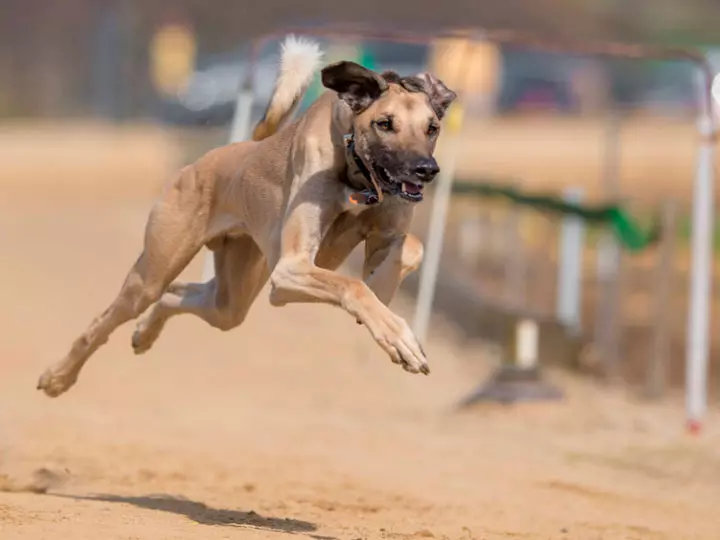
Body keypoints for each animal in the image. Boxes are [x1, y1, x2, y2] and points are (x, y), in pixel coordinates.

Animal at [36, 34, 456, 396]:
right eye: (385, 124)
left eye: (432, 127)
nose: (425, 169)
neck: (356, 172)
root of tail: (219, 156)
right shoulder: (290, 269)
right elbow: (352, 285)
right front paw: (397, 334)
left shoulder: (373, 237)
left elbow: (408, 250)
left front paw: (384, 294)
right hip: (150, 277)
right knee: (108, 319)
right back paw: (57, 377)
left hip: (232, 297)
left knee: (184, 295)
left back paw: (144, 333)